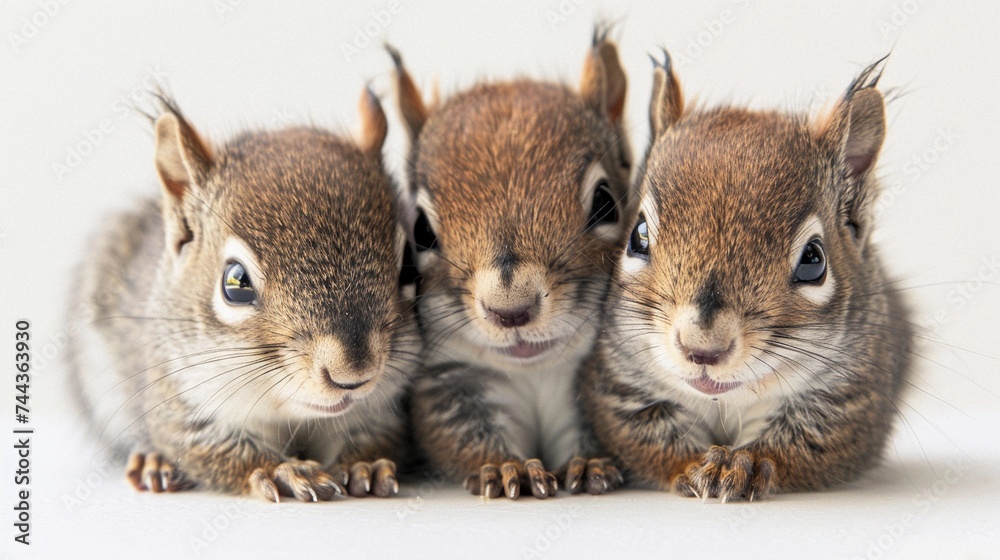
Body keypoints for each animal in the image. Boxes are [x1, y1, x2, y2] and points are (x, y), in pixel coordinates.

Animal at [66, 88, 421, 502]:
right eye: (235, 282)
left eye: (409, 265)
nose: (353, 375)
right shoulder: (179, 401)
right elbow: (217, 450)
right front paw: (282, 471)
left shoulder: (383, 404)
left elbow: (377, 435)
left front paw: (362, 463)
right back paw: (154, 462)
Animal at [386, 27, 634, 499]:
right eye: (422, 231)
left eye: (605, 204)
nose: (511, 309)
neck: (533, 370)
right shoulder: (452, 385)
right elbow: (464, 435)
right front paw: (504, 469)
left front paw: (588, 465)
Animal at [580, 53, 914, 501]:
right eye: (638, 236)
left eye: (814, 261)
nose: (703, 348)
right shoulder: (618, 385)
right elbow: (644, 436)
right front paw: (691, 466)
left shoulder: (853, 398)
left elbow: (807, 442)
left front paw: (749, 464)